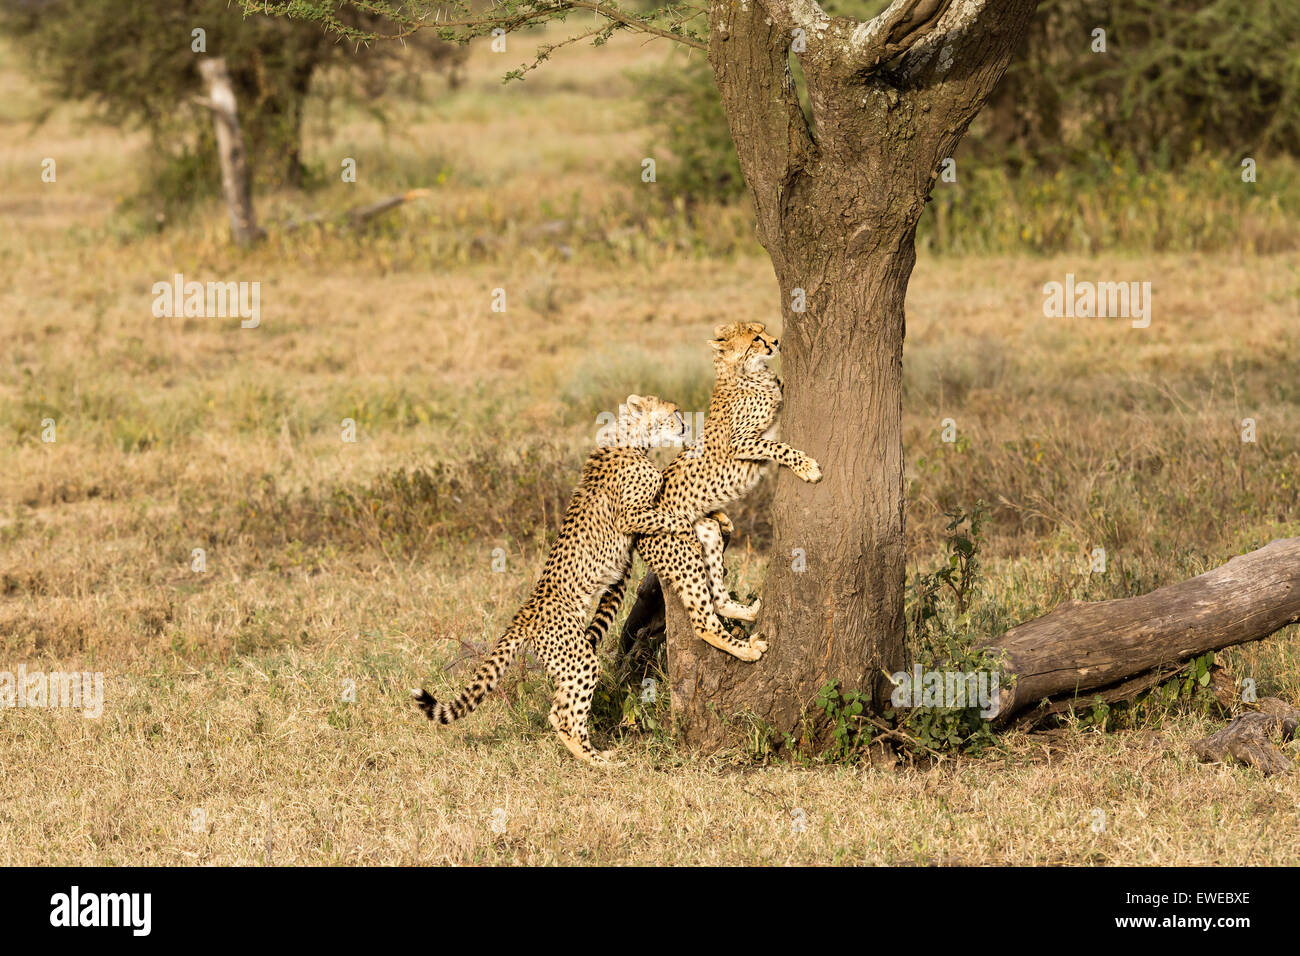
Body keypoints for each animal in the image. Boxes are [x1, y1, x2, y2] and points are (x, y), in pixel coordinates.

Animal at [411, 394, 698, 767]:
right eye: (674, 411)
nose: (686, 424)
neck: (631, 440)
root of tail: (527, 610)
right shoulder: (631, 514)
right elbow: (671, 515)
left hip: (570, 658)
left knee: (558, 708)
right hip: (579, 657)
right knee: (564, 715)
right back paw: (597, 760)